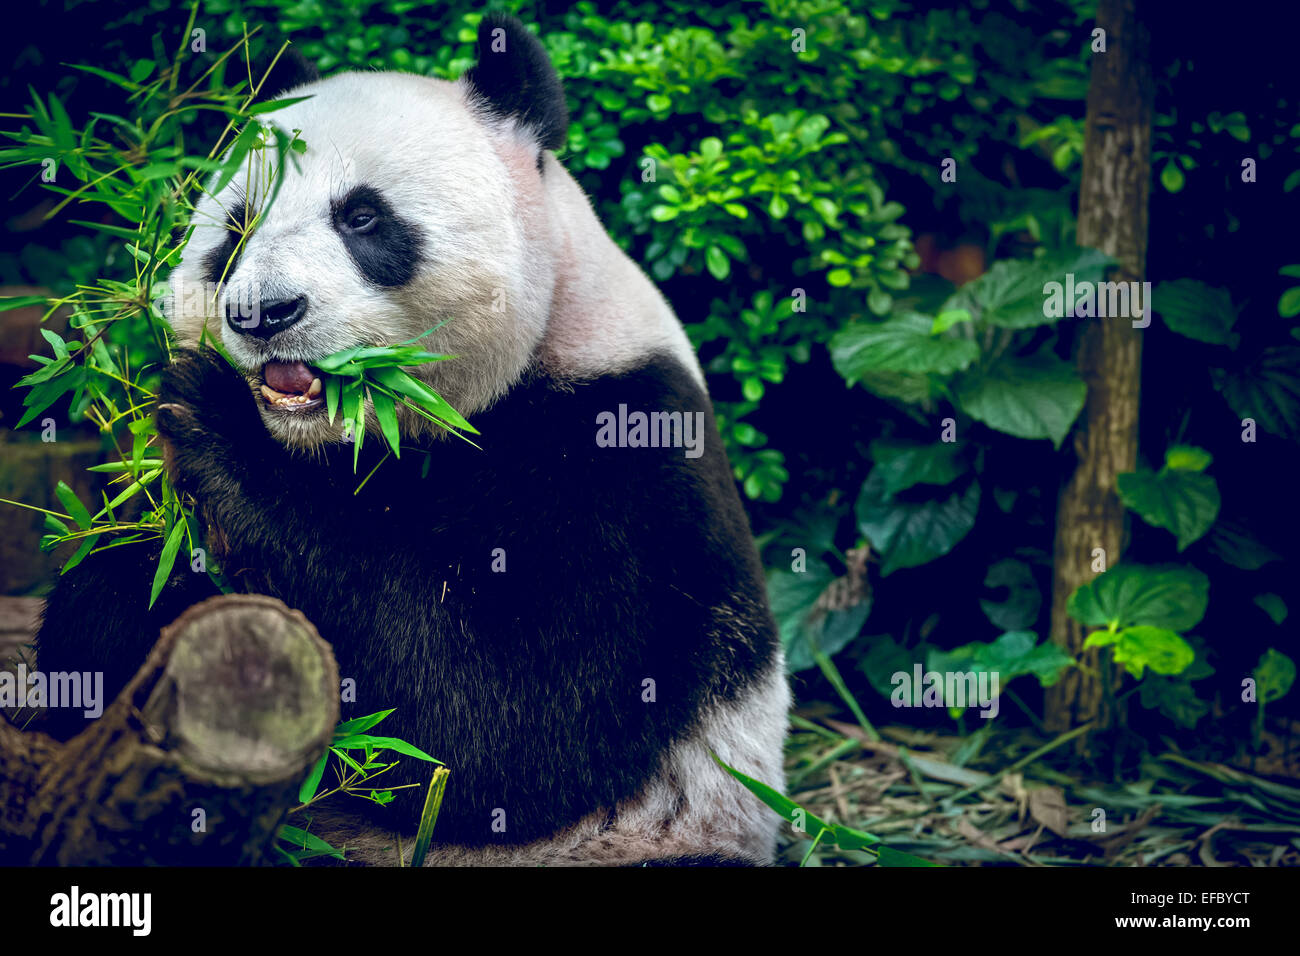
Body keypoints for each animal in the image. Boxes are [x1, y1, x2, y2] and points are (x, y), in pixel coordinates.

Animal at [36, 13, 790, 866]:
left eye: (362, 217)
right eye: (238, 226)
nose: (263, 313)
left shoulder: (621, 454)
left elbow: (499, 725)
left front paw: (212, 417)